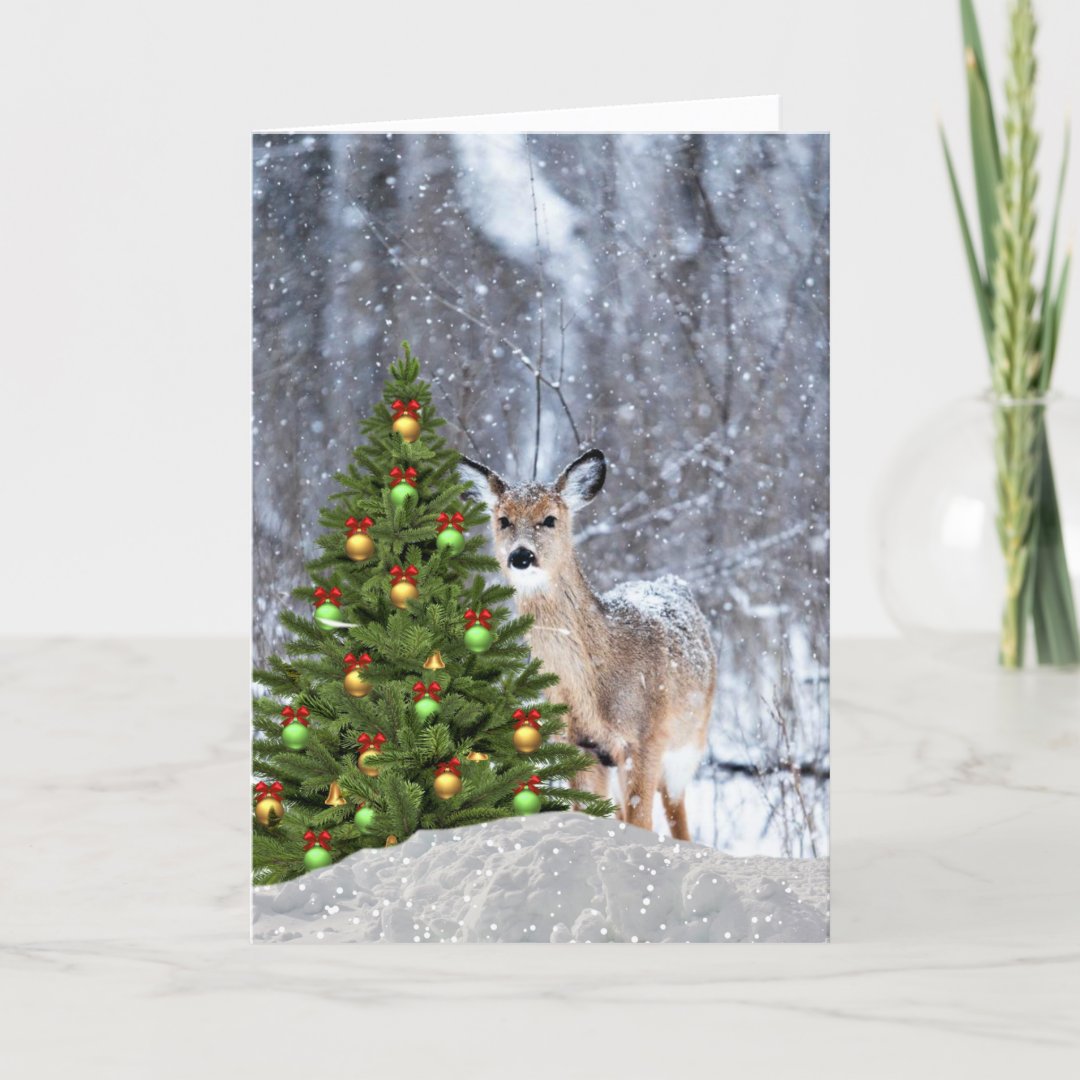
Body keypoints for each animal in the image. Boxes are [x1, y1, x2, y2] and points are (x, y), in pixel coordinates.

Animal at [459, 449, 717, 840]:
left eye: (549, 519)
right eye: (503, 520)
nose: (521, 556)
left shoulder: (646, 738)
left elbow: (641, 821)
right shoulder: (578, 744)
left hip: (689, 741)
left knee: (676, 811)